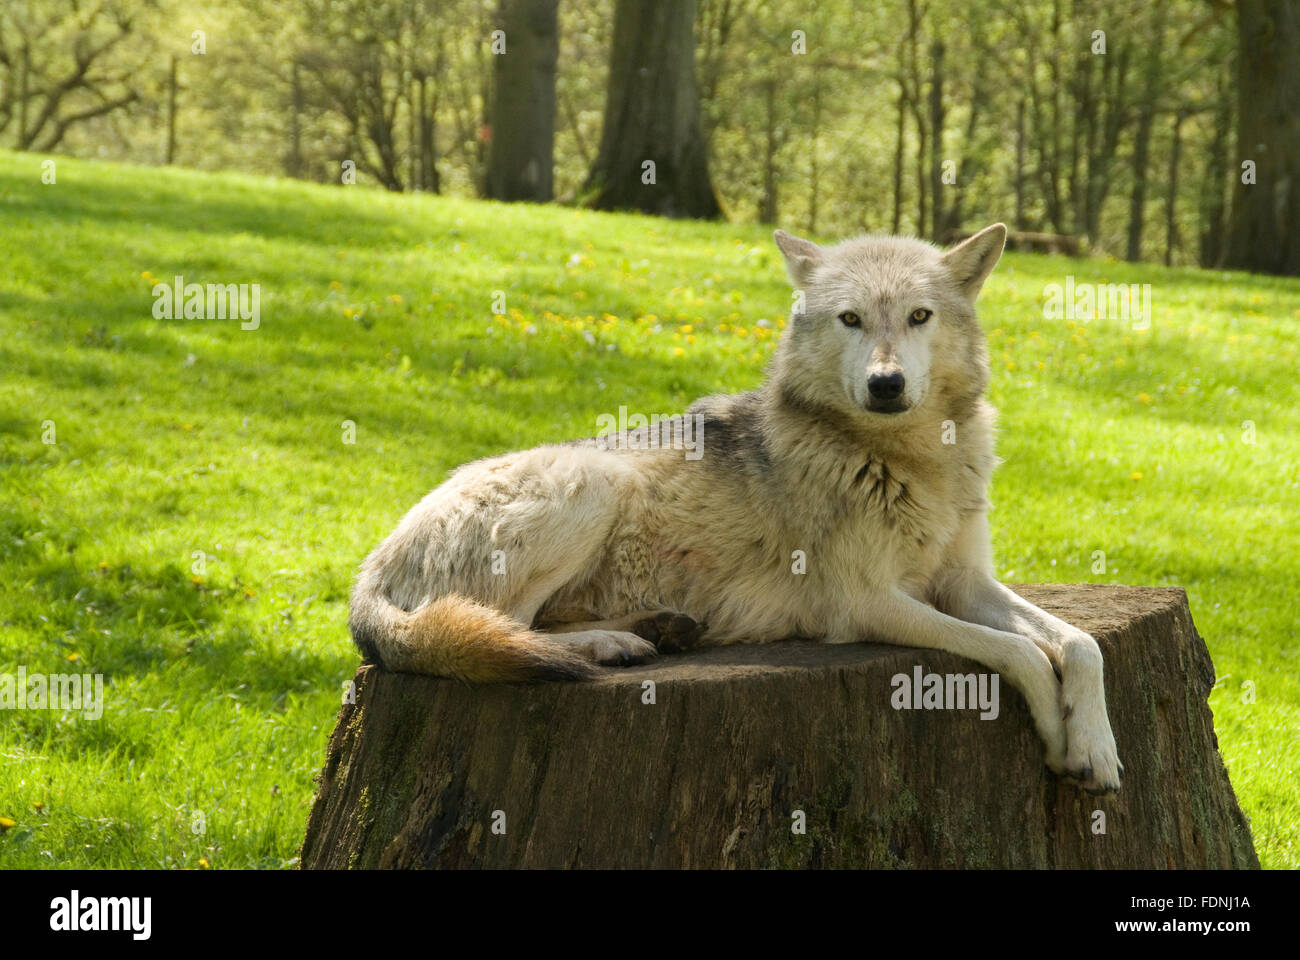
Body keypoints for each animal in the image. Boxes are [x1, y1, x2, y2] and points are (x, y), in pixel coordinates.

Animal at [349, 223, 1122, 793]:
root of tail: (370, 572)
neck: (905, 458)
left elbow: (1078, 644)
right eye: (850, 319)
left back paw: (655, 630)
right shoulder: (868, 604)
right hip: (594, 481)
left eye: (918, 317)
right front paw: (1062, 738)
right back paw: (610, 646)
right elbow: (1022, 652)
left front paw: (1095, 747)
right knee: (502, 627)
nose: (886, 384)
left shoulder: (964, 581)